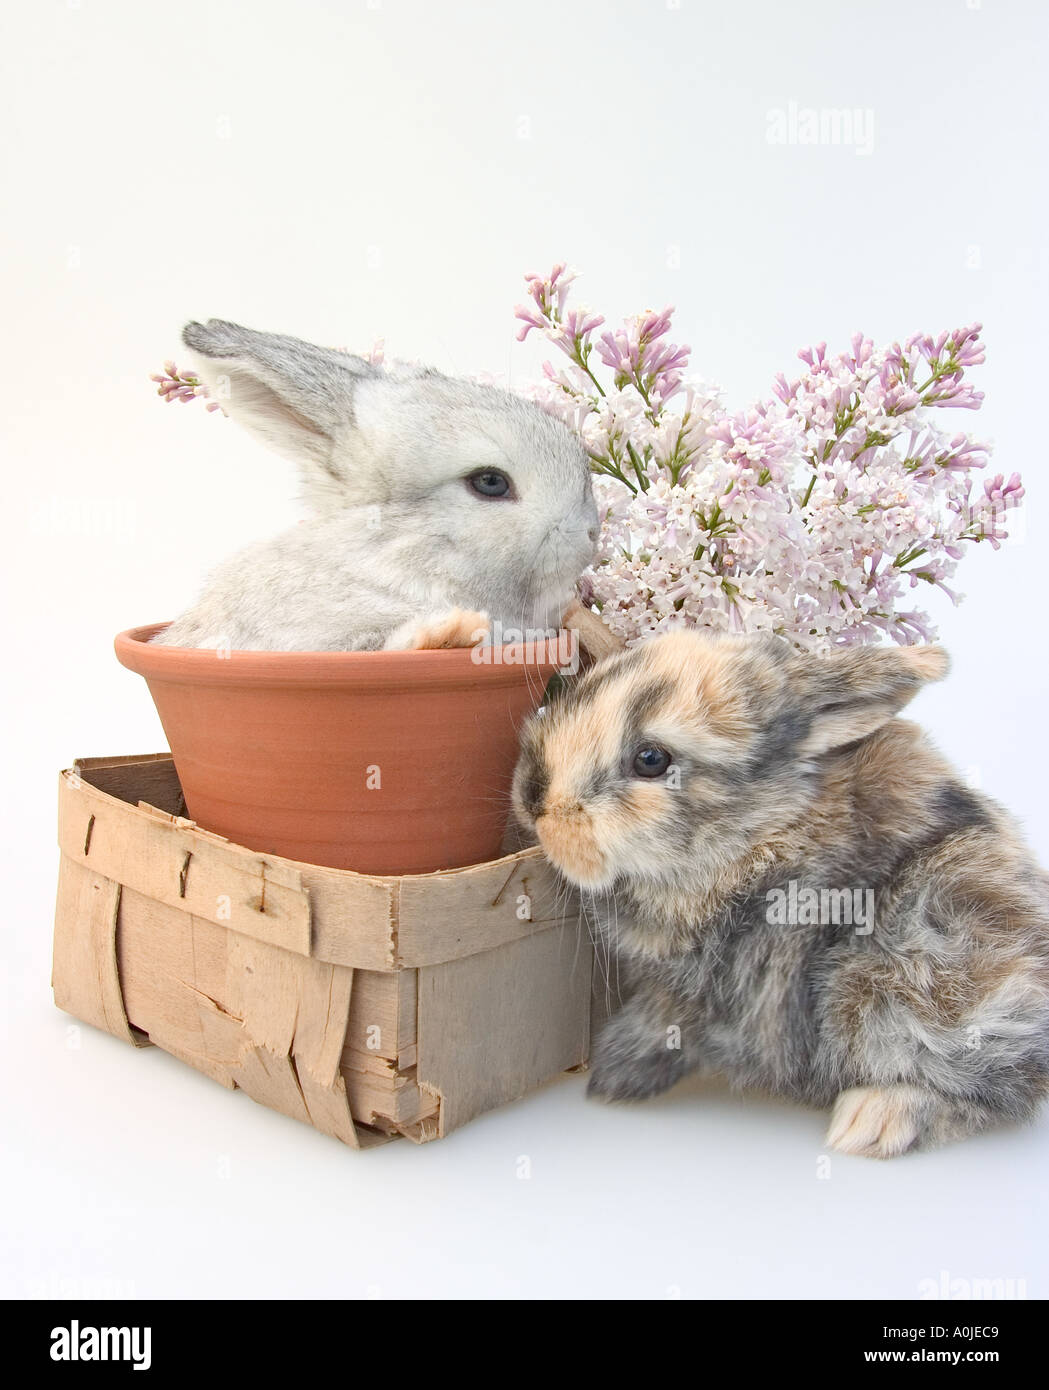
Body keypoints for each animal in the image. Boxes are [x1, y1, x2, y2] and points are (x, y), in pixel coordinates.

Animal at [512, 630, 1049, 1157]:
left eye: (651, 759)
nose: (533, 798)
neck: (761, 833)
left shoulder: (708, 988)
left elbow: (665, 1026)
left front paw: (610, 1078)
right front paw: (612, 1078)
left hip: (925, 979)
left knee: (1003, 1083)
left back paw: (870, 1121)